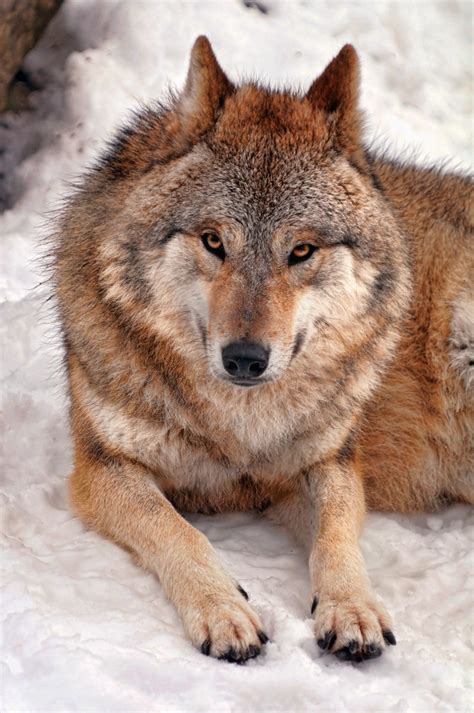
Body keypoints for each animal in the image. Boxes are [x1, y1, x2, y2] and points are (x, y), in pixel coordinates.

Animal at [54, 37, 473, 664]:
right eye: (213, 241)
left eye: (301, 250)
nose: (245, 359)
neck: (240, 429)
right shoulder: (103, 468)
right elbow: (179, 531)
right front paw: (224, 611)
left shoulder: (331, 462)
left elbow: (337, 539)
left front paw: (351, 609)